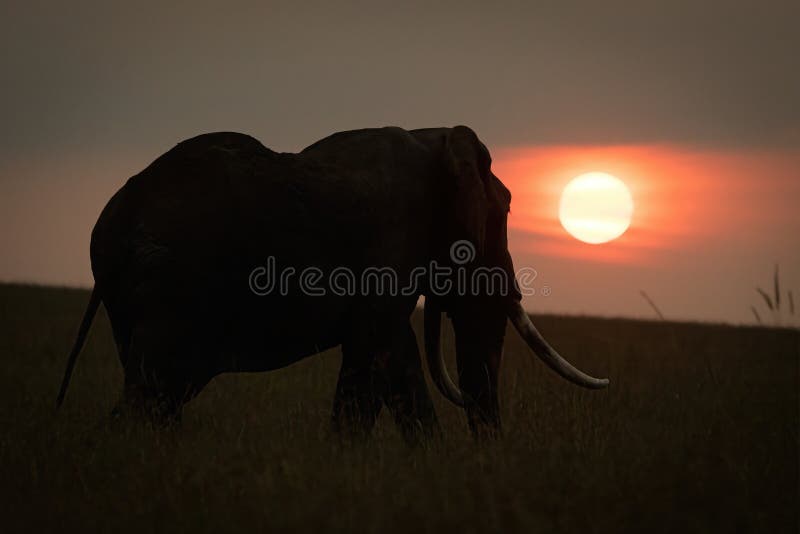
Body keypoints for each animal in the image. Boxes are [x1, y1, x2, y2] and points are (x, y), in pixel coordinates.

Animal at [56, 126, 608, 440]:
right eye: (508, 209)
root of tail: (111, 222)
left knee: (159, 395)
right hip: (171, 287)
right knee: (152, 393)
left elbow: (396, 356)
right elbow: (374, 354)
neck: (437, 138)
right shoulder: (391, 239)